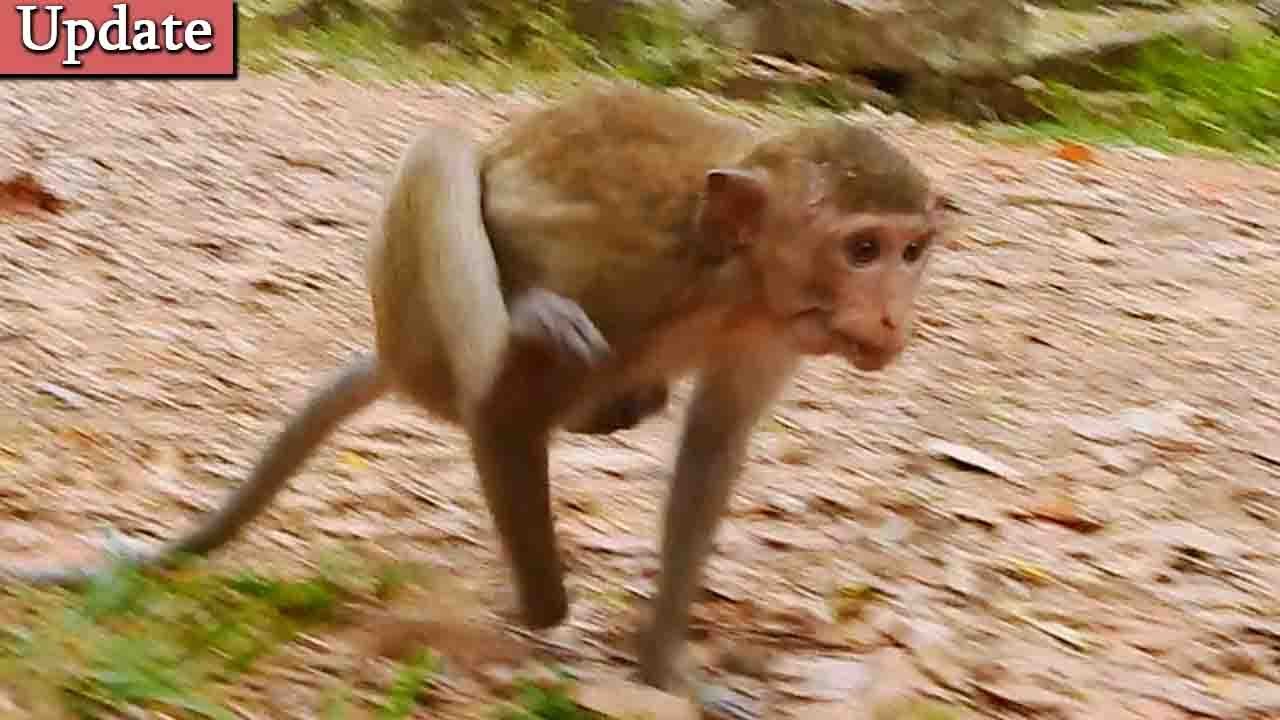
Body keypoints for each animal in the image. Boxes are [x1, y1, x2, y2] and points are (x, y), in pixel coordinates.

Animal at [2, 84, 955, 695]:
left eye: (912, 251)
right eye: (862, 249)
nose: (891, 318)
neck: (739, 279)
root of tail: (390, 354)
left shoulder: (769, 336)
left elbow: (713, 450)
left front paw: (664, 667)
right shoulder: (634, 285)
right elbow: (503, 416)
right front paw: (540, 613)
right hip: (418, 315)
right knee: (448, 157)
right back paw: (525, 319)